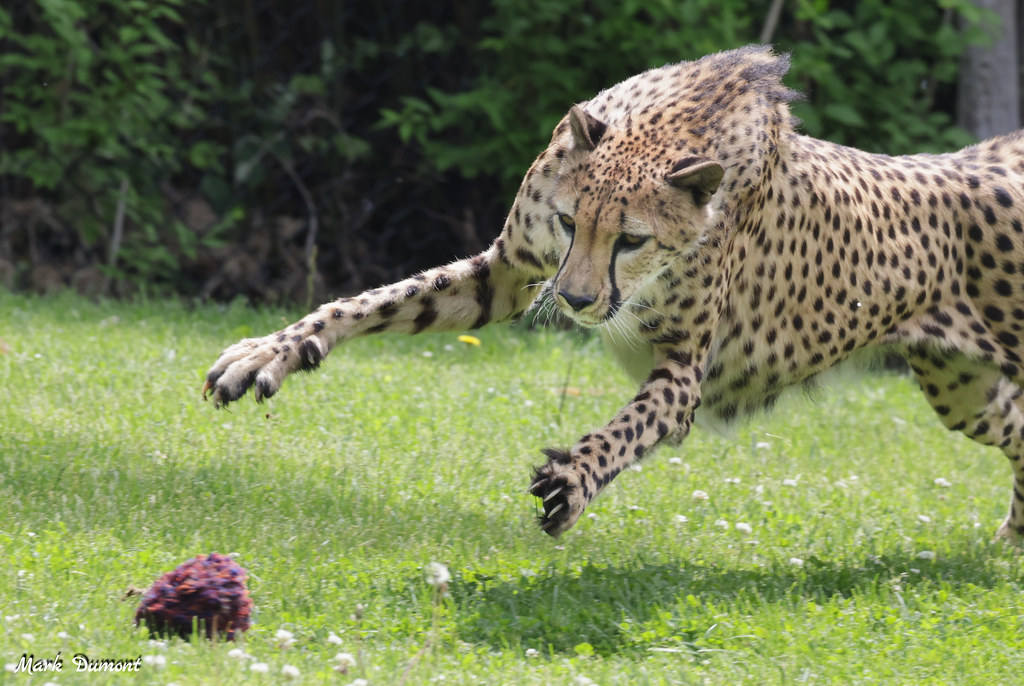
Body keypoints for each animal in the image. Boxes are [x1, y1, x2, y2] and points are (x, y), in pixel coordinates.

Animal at [204, 45, 1024, 542]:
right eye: (571, 223)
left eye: (632, 239)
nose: (574, 302)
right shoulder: (508, 274)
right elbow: (372, 302)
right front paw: (267, 354)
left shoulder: (686, 372)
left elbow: (630, 427)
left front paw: (574, 478)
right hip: (963, 392)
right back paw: (1012, 537)